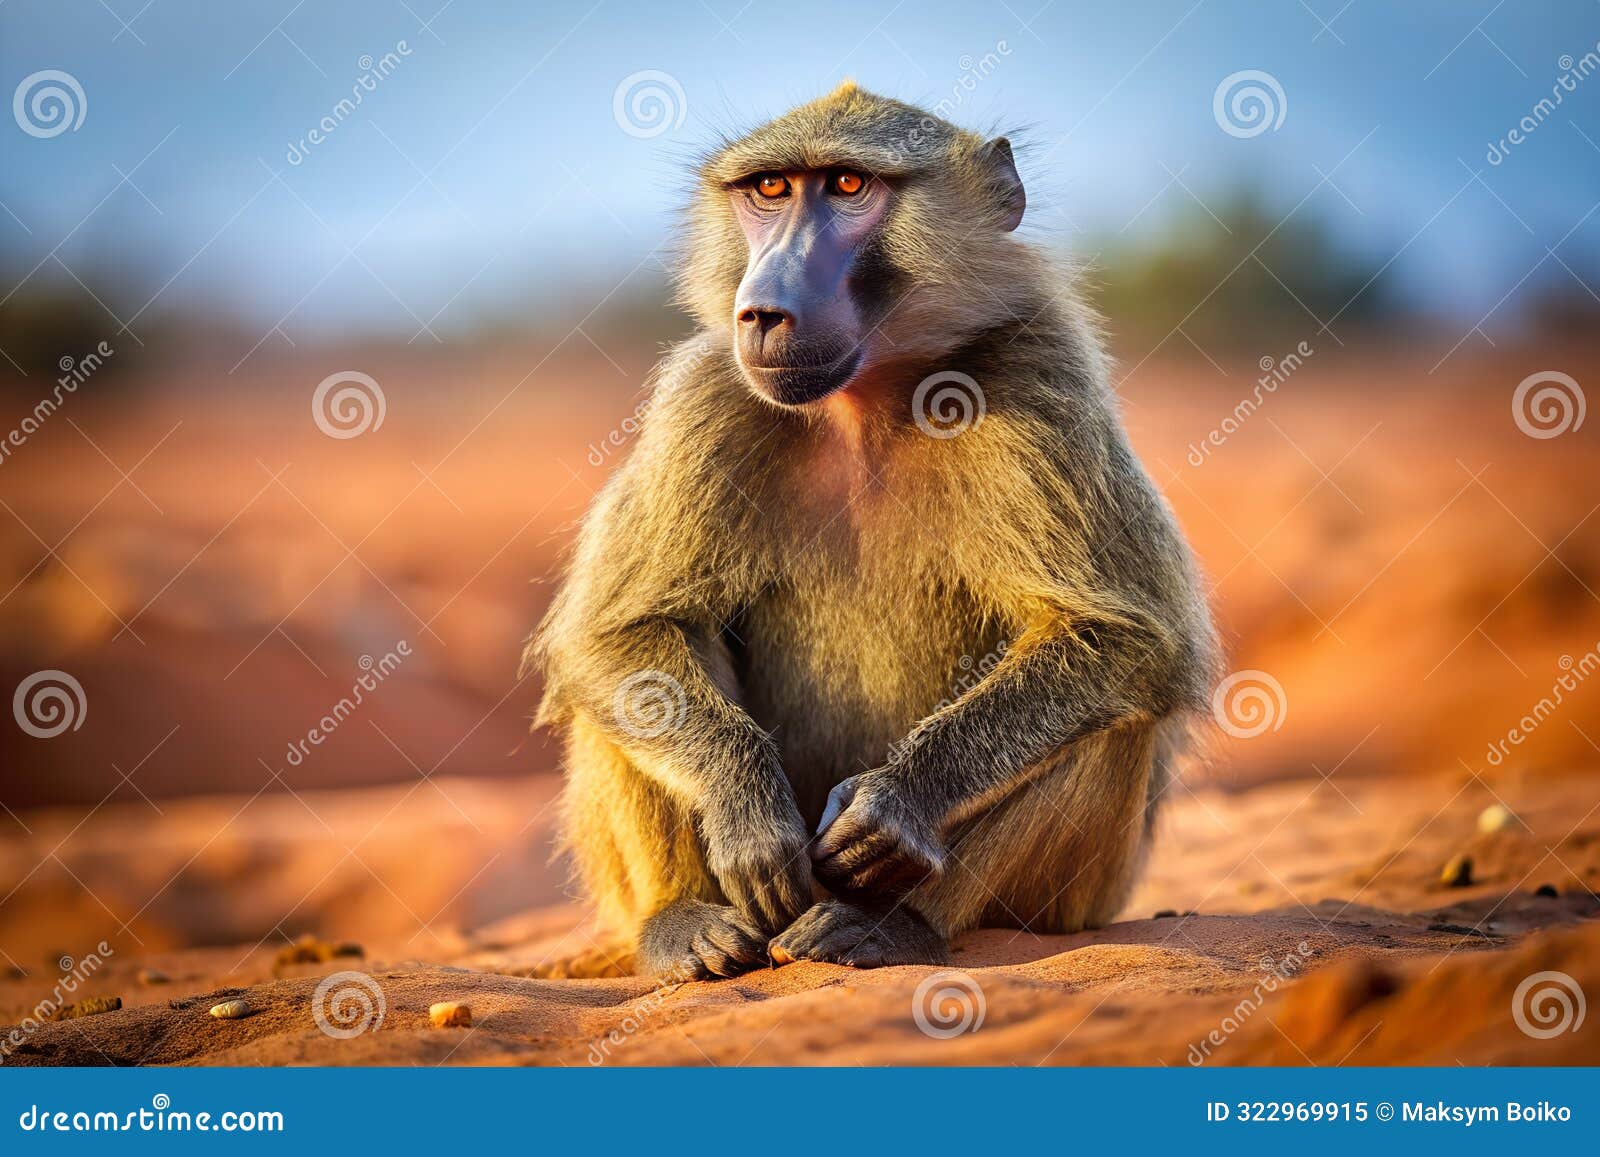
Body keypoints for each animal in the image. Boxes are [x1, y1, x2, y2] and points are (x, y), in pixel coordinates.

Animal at [524, 82, 1216, 981]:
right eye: (770, 190)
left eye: (849, 186)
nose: (765, 311)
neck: (866, 402)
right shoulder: (705, 395)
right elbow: (617, 631)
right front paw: (746, 807)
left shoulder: (1038, 372)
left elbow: (1129, 635)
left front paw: (895, 805)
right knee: (630, 672)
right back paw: (685, 924)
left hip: (1078, 903)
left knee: (1113, 710)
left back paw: (894, 926)